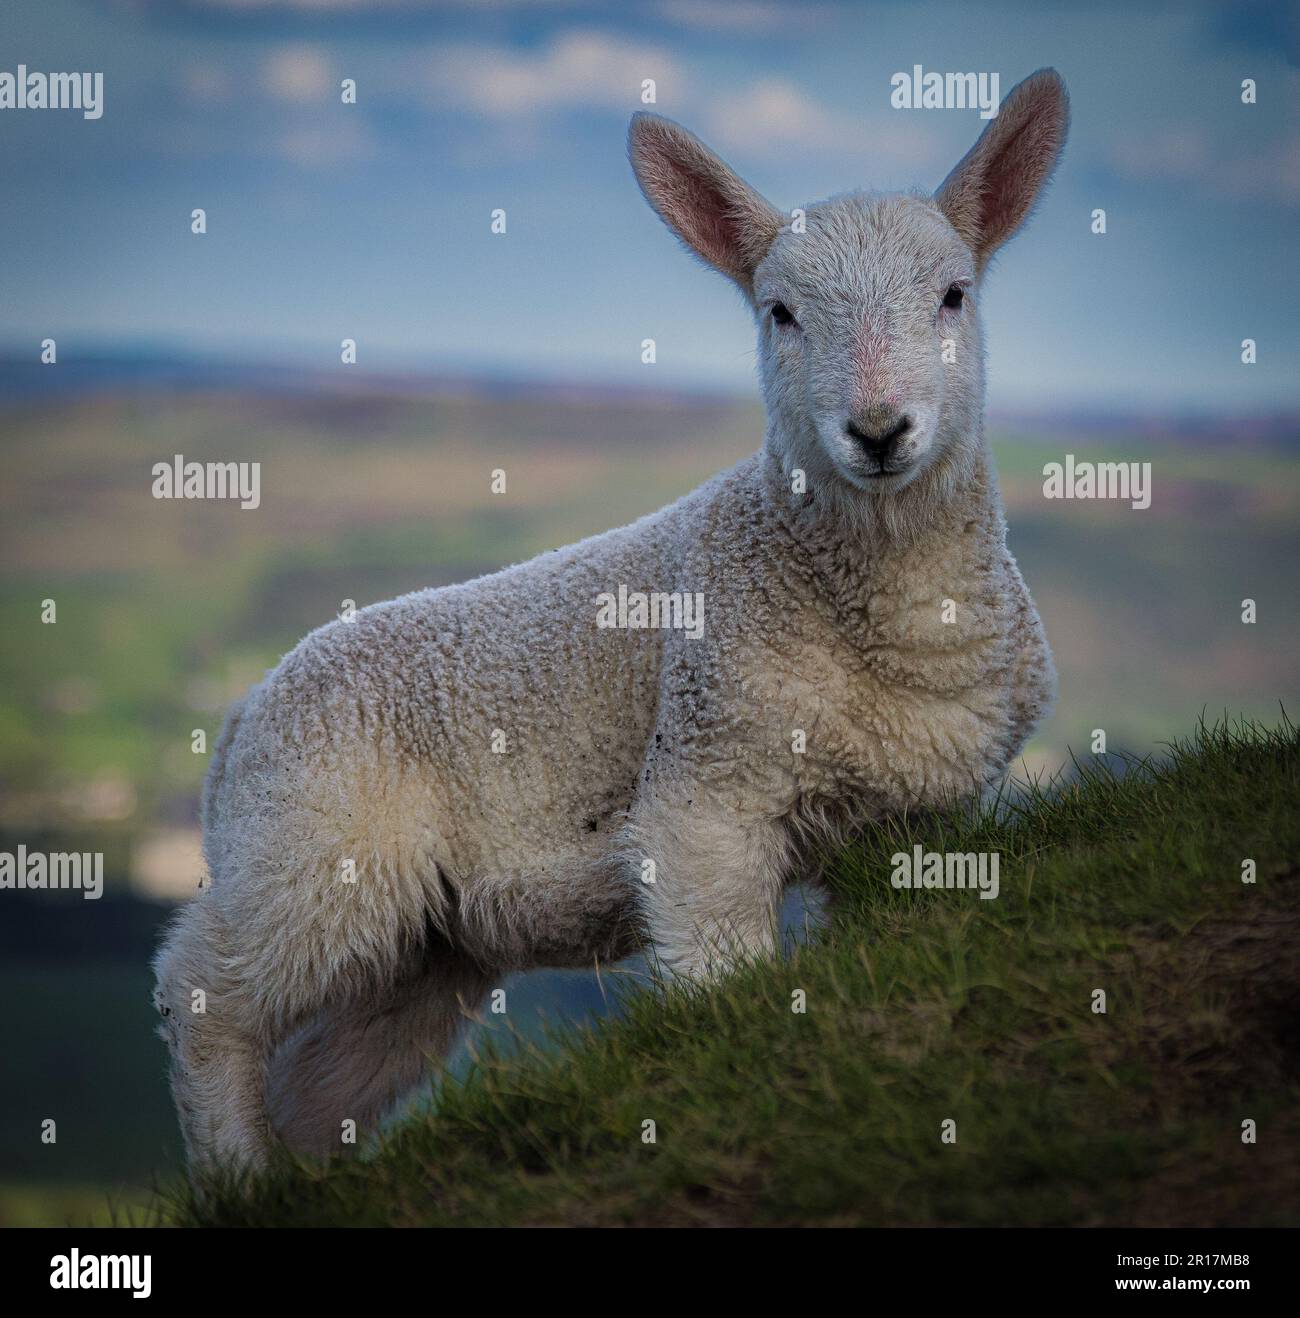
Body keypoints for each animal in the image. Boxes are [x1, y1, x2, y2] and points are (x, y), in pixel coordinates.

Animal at [154, 68, 1067, 1170]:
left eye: (953, 295)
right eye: (780, 312)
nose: (880, 430)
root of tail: (239, 717)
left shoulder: (916, 824)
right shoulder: (708, 786)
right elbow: (722, 968)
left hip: (417, 947)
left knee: (324, 1073)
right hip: (313, 845)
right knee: (204, 990)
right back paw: (235, 1173)